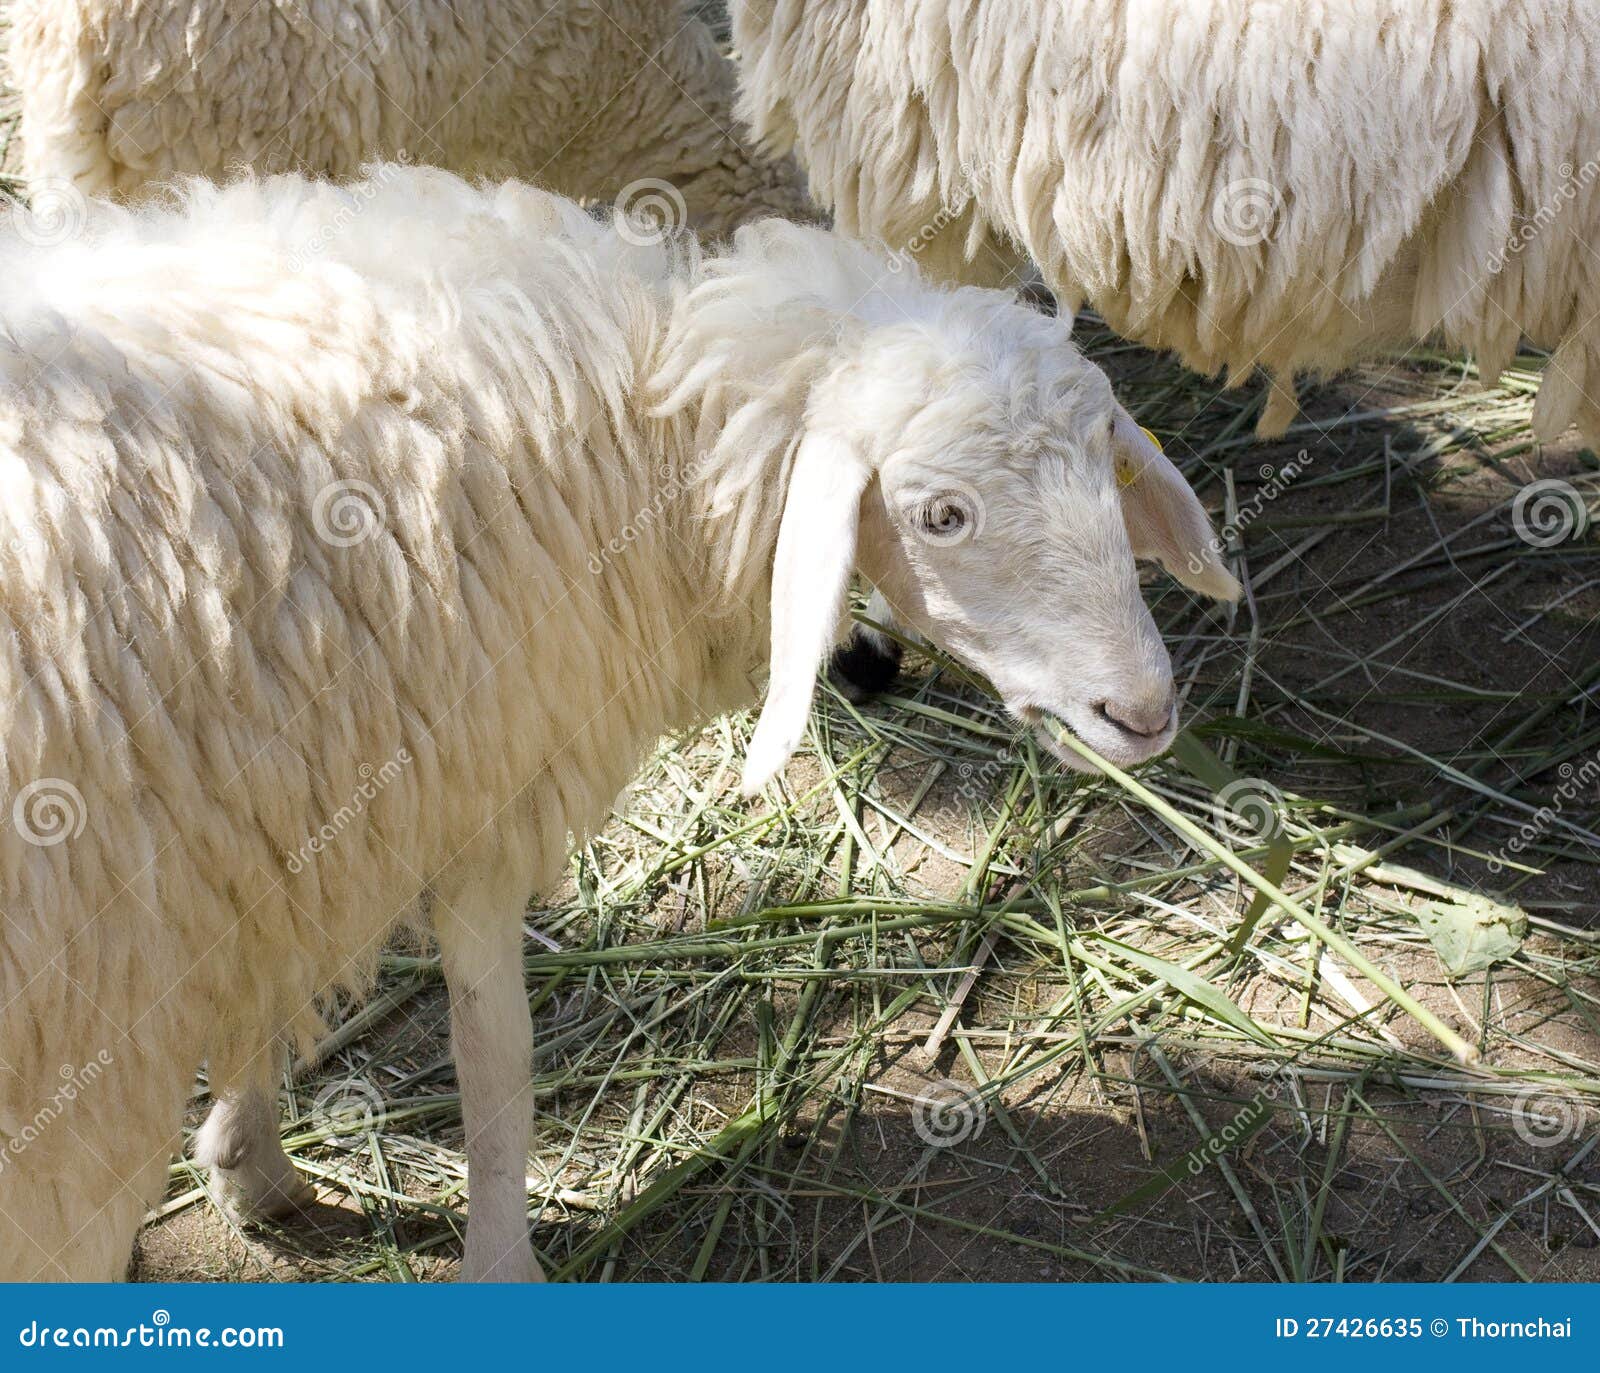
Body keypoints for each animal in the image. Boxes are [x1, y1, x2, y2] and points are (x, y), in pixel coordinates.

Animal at [0, 164, 1236, 1281]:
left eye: (1110, 469)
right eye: (941, 514)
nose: (1142, 709)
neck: (648, 423)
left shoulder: (246, 818)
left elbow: (256, 990)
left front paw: (245, 1159)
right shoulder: (474, 788)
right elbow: (496, 1061)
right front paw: (501, 1266)